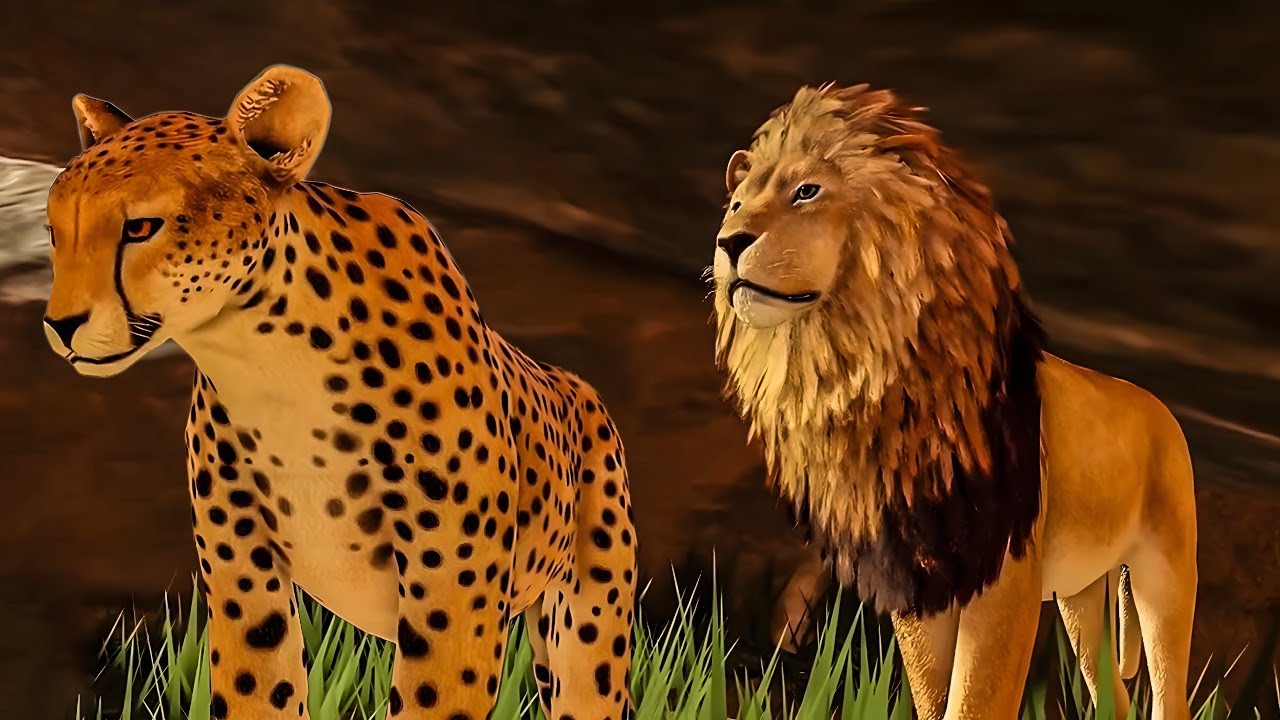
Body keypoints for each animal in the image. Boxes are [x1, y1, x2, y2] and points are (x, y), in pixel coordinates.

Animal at [42, 64, 637, 720]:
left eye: (141, 227)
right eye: (54, 232)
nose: (60, 325)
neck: (268, 357)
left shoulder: (452, 591)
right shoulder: (244, 573)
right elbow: (258, 688)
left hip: (584, 628)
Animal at [709, 83, 1198, 720]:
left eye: (807, 190)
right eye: (737, 203)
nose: (729, 242)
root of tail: (1161, 407)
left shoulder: (1003, 583)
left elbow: (976, 699)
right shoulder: (917, 584)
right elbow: (932, 695)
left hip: (1165, 575)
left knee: (1169, 684)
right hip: (1081, 592)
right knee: (1107, 684)